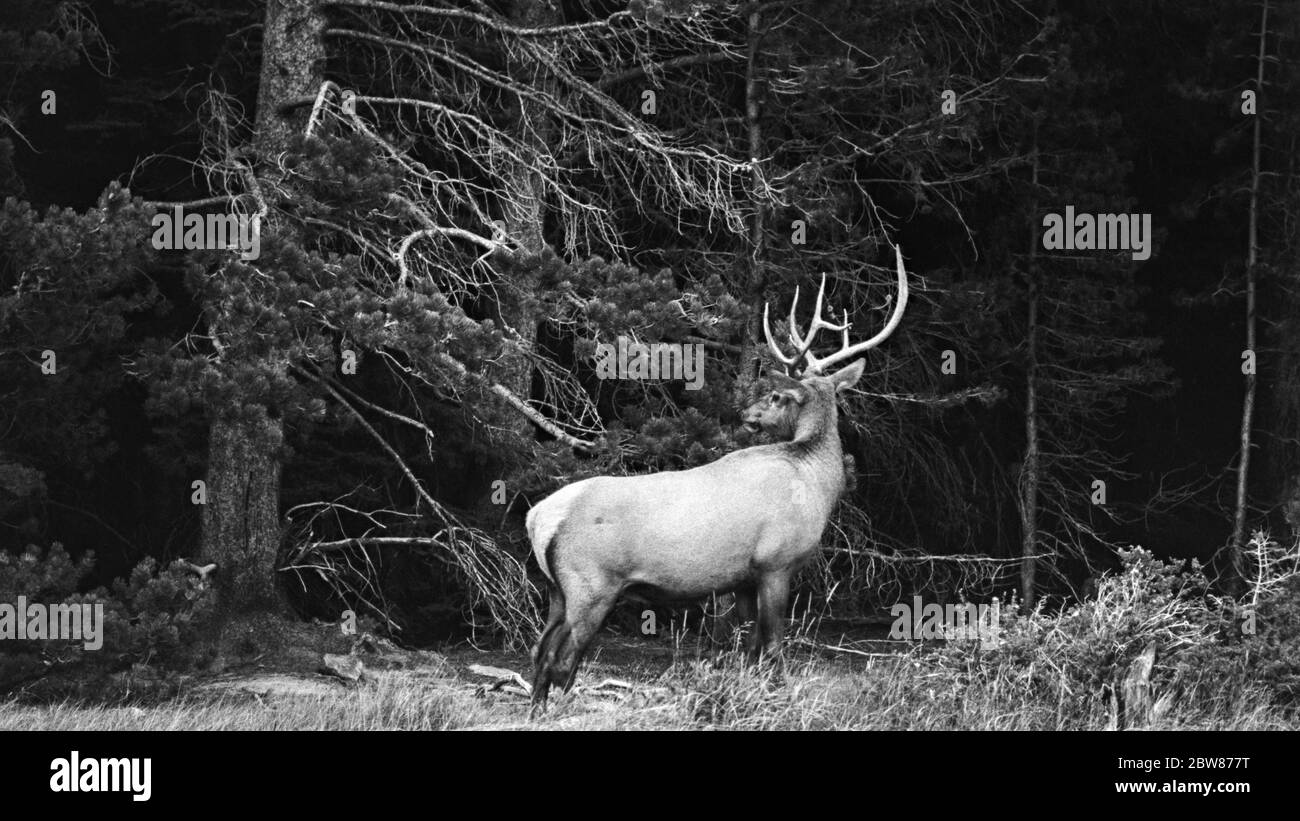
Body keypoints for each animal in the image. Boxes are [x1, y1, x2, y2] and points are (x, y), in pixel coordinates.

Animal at [525, 245, 909, 711]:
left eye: (775, 396)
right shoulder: (775, 562)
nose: (747, 415)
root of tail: (539, 518)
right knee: (563, 659)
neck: (815, 480)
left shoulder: (741, 578)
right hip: (591, 583)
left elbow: (748, 648)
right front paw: (775, 699)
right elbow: (773, 646)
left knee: (540, 651)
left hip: (557, 591)